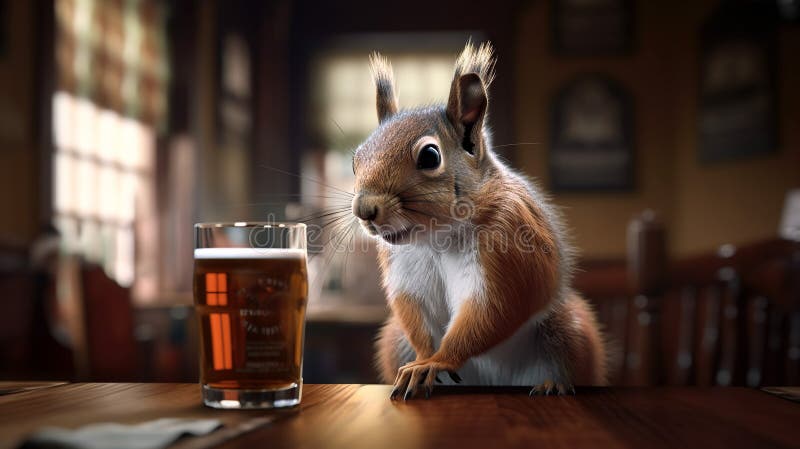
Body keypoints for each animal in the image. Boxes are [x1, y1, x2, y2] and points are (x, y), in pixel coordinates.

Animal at [350, 42, 607, 400]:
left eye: (430, 156)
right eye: (355, 159)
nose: (365, 210)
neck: (437, 239)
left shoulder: (511, 246)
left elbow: (493, 311)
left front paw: (437, 361)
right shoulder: (405, 271)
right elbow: (414, 314)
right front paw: (422, 361)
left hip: (569, 331)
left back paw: (553, 384)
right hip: (393, 340)